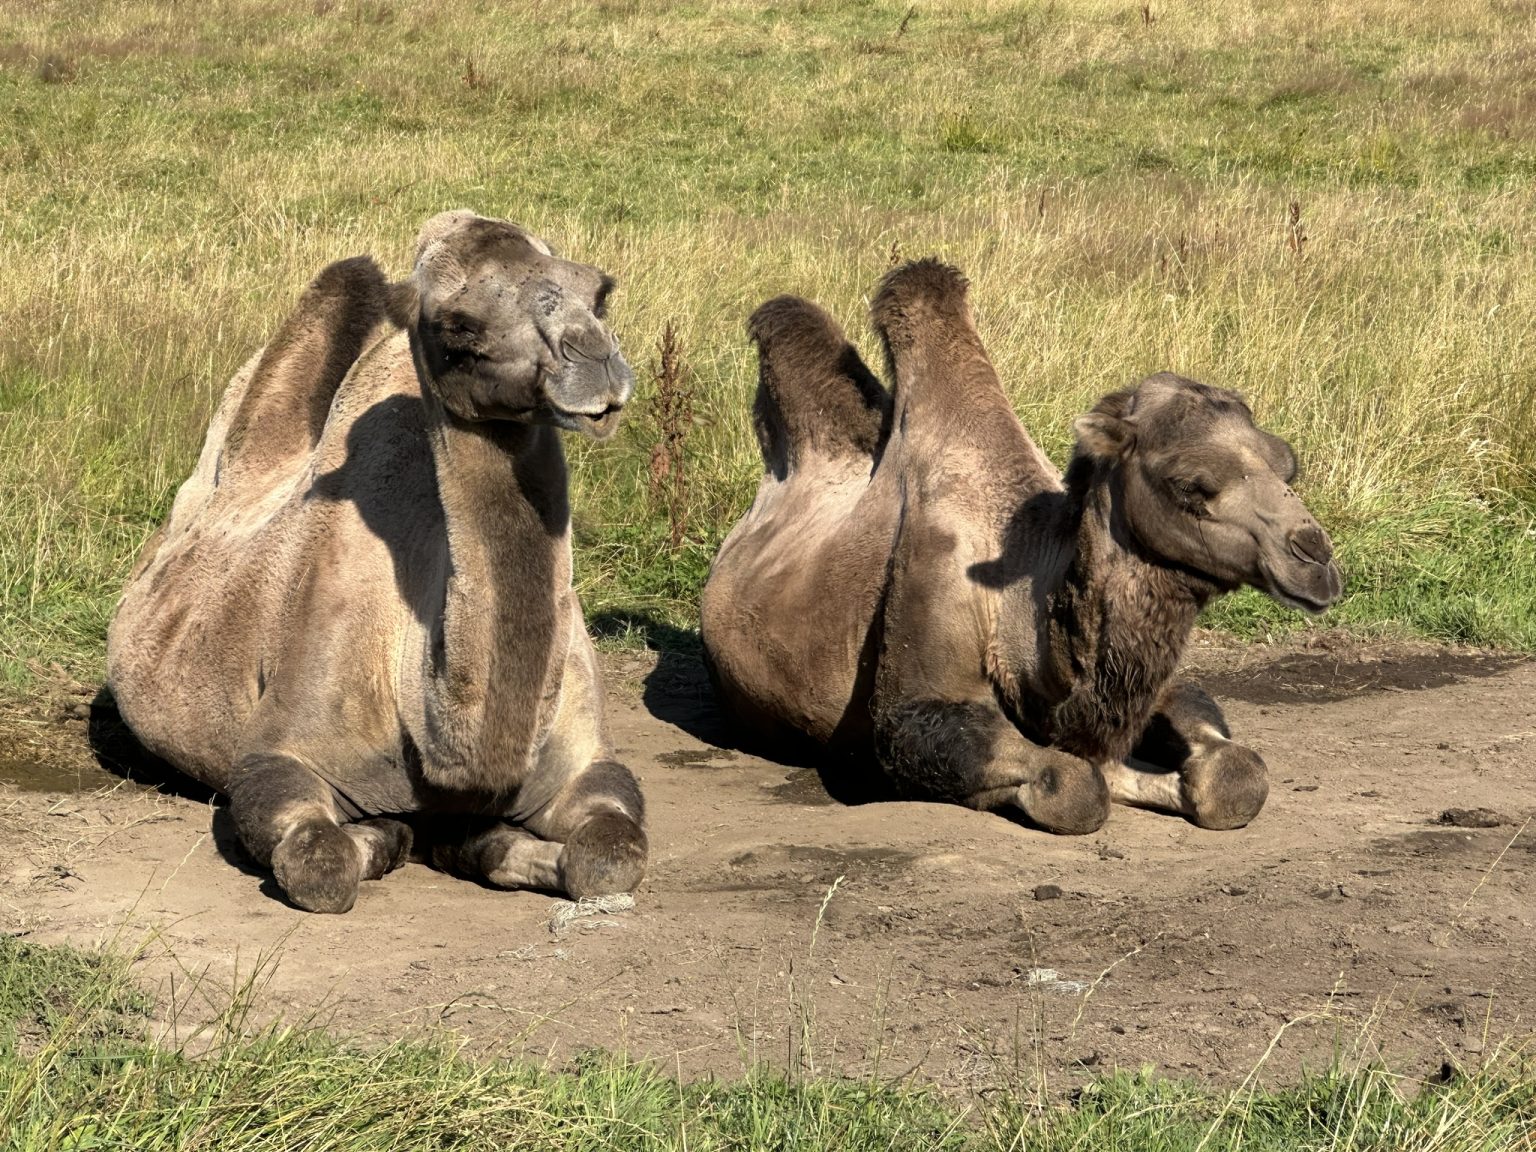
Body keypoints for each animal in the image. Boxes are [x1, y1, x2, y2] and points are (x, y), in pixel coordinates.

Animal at [106, 210, 647, 912]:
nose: (595, 359)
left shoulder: (588, 761)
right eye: (457, 326)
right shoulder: (279, 754)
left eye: (598, 290)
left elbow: (609, 856)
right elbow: (321, 859)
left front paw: (477, 840)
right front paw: (395, 834)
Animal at [701, 259, 1343, 833]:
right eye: (1192, 485)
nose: (1317, 561)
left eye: (1288, 463)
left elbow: (1236, 770)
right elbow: (1072, 782)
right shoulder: (917, 685)